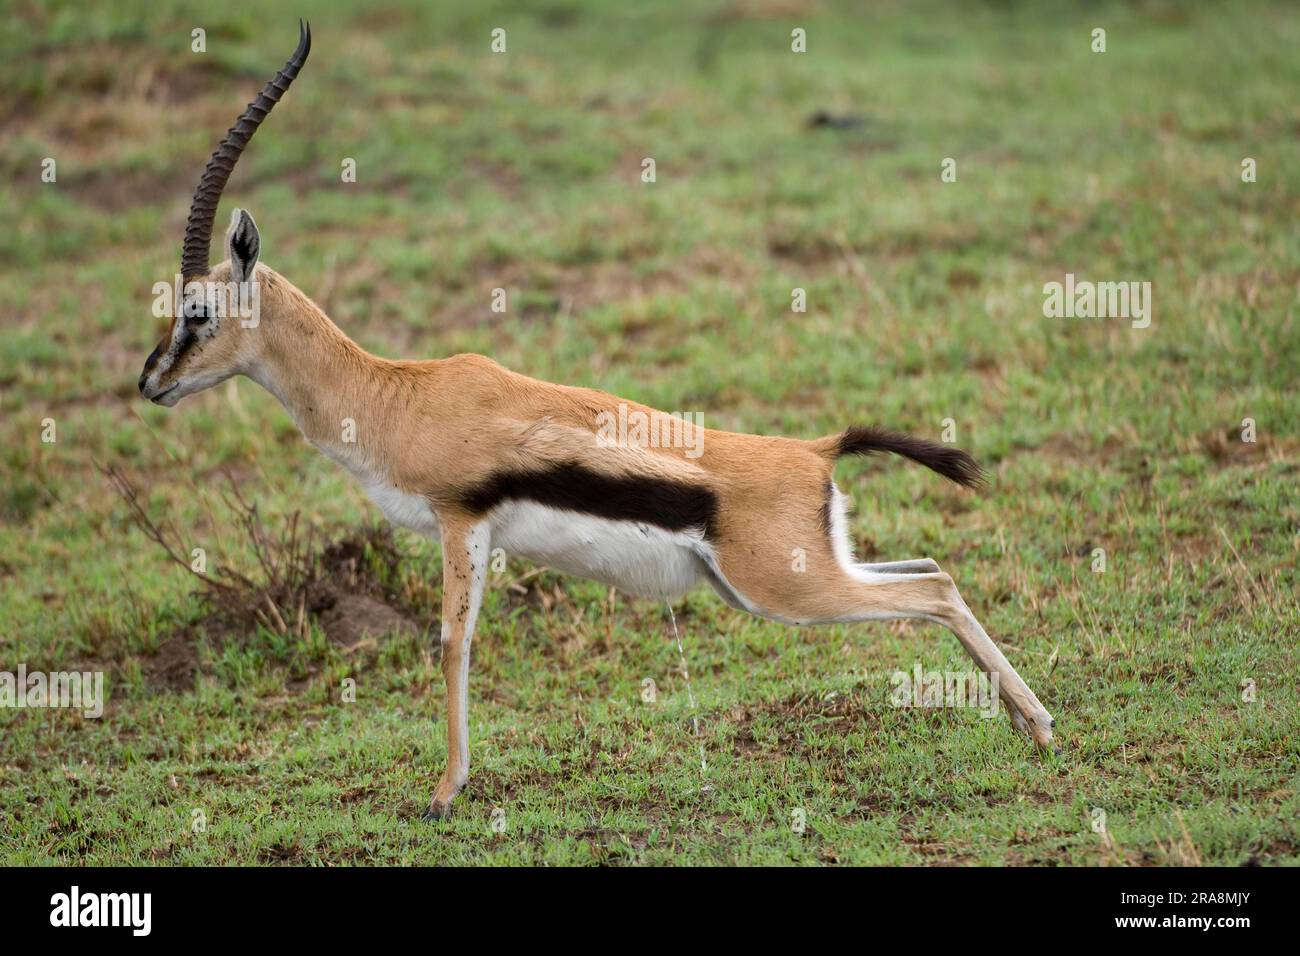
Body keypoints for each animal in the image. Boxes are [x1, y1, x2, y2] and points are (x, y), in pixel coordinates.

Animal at [139, 23, 1055, 820]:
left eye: (196, 312)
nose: (150, 382)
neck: (395, 395)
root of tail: (815, 451)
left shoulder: (460, 523)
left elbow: (452, 642)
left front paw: (444, 794)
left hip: (785, 590)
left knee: (931, 589)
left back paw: (1041, 728)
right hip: (795, 576)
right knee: (932, 569)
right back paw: (1028, 722)